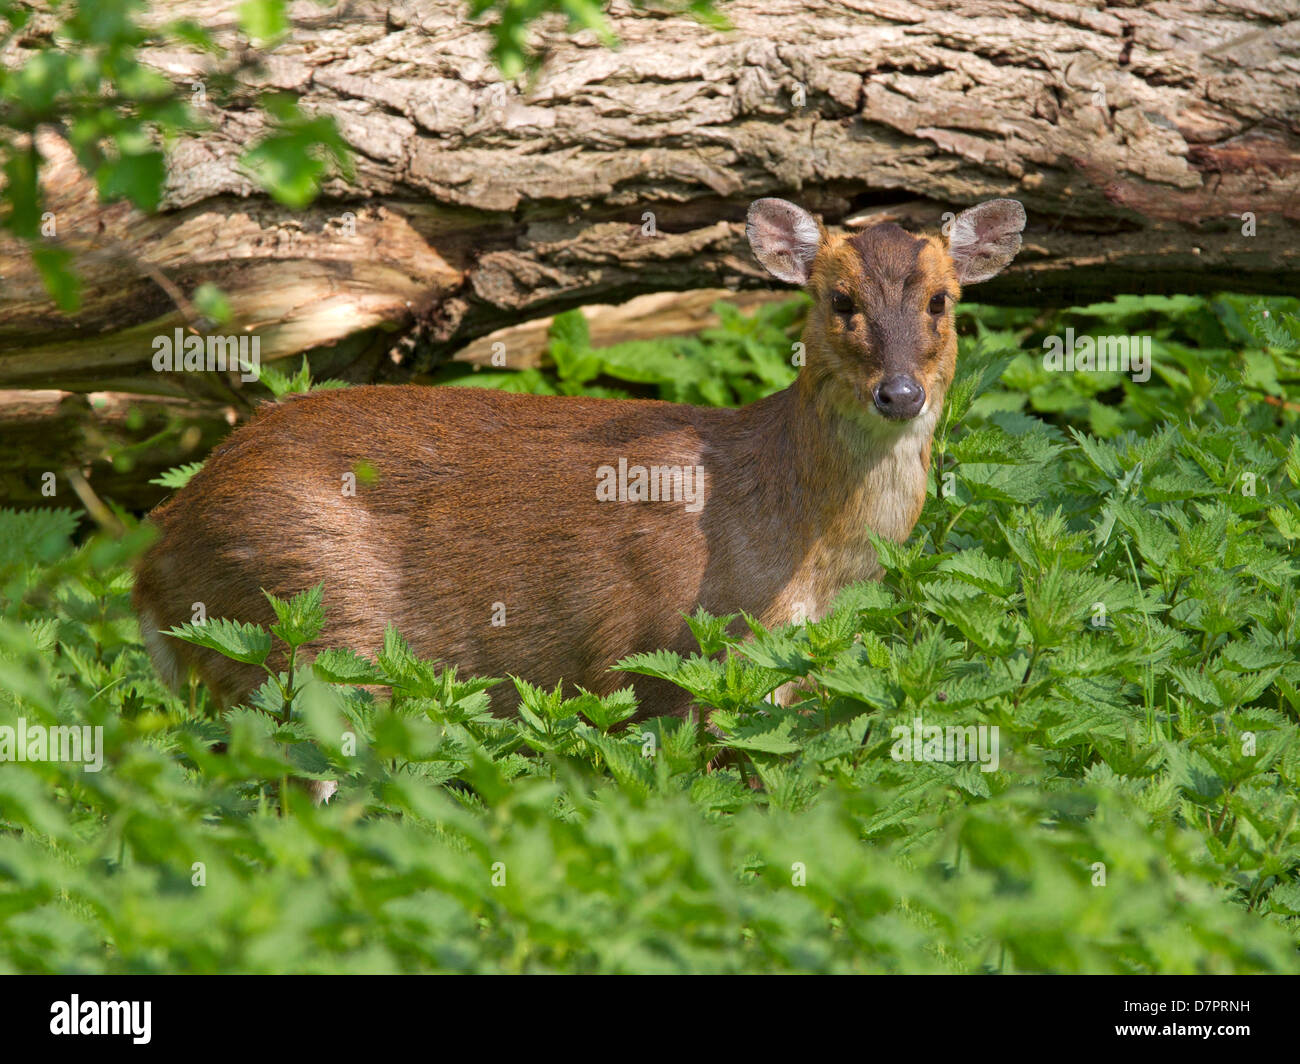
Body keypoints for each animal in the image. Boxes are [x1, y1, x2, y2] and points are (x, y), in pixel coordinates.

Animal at [133, 196, 1026, 797]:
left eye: (942, 301)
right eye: (839, 301)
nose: (900, 393)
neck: (796, 544)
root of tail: (155, 557)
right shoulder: (651, 654)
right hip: (310, 615)